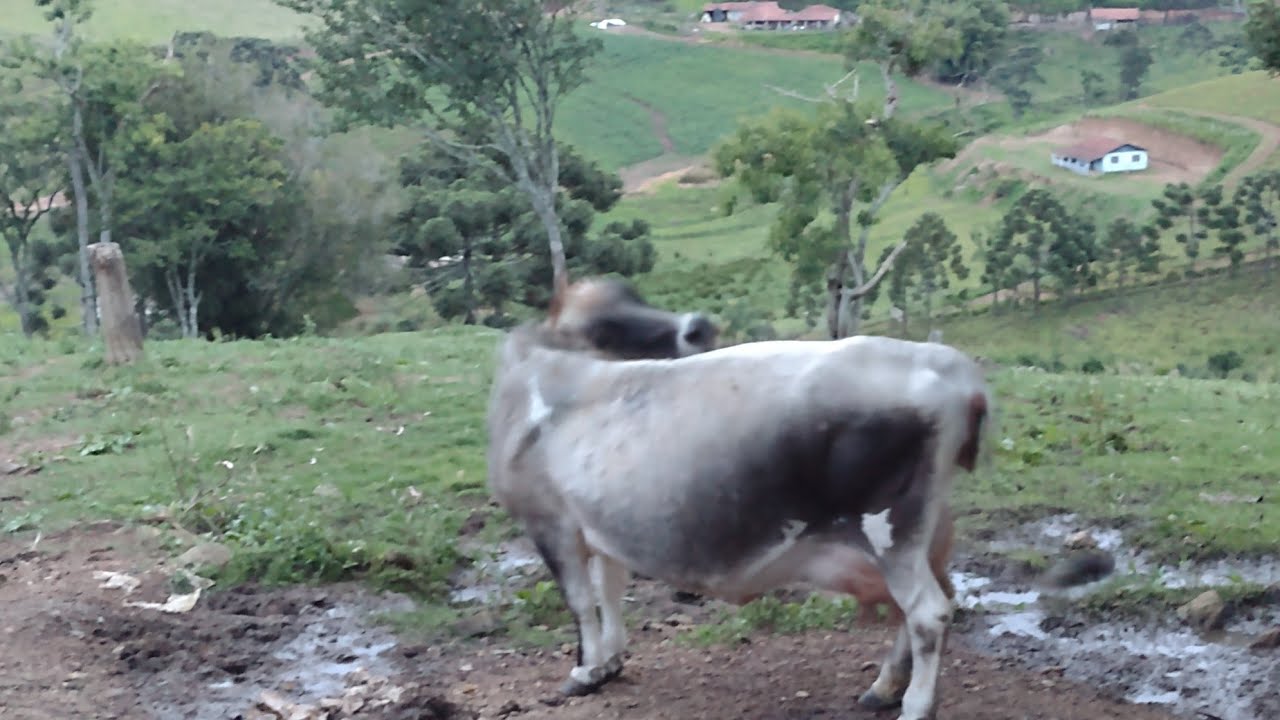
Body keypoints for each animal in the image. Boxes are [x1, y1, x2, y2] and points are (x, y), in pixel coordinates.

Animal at [485, 287, 995, 720]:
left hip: (890, 530)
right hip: (925, 528)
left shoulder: (549, 520)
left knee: (927, 612)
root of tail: (944, 362)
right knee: (934, 599)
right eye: (608, 323)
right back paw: (885, 687)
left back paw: (914, 705)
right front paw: (610, 661)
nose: (698, 327)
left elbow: (578, 599)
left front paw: (586, 671)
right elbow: (607, 590)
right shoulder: (595, 521)